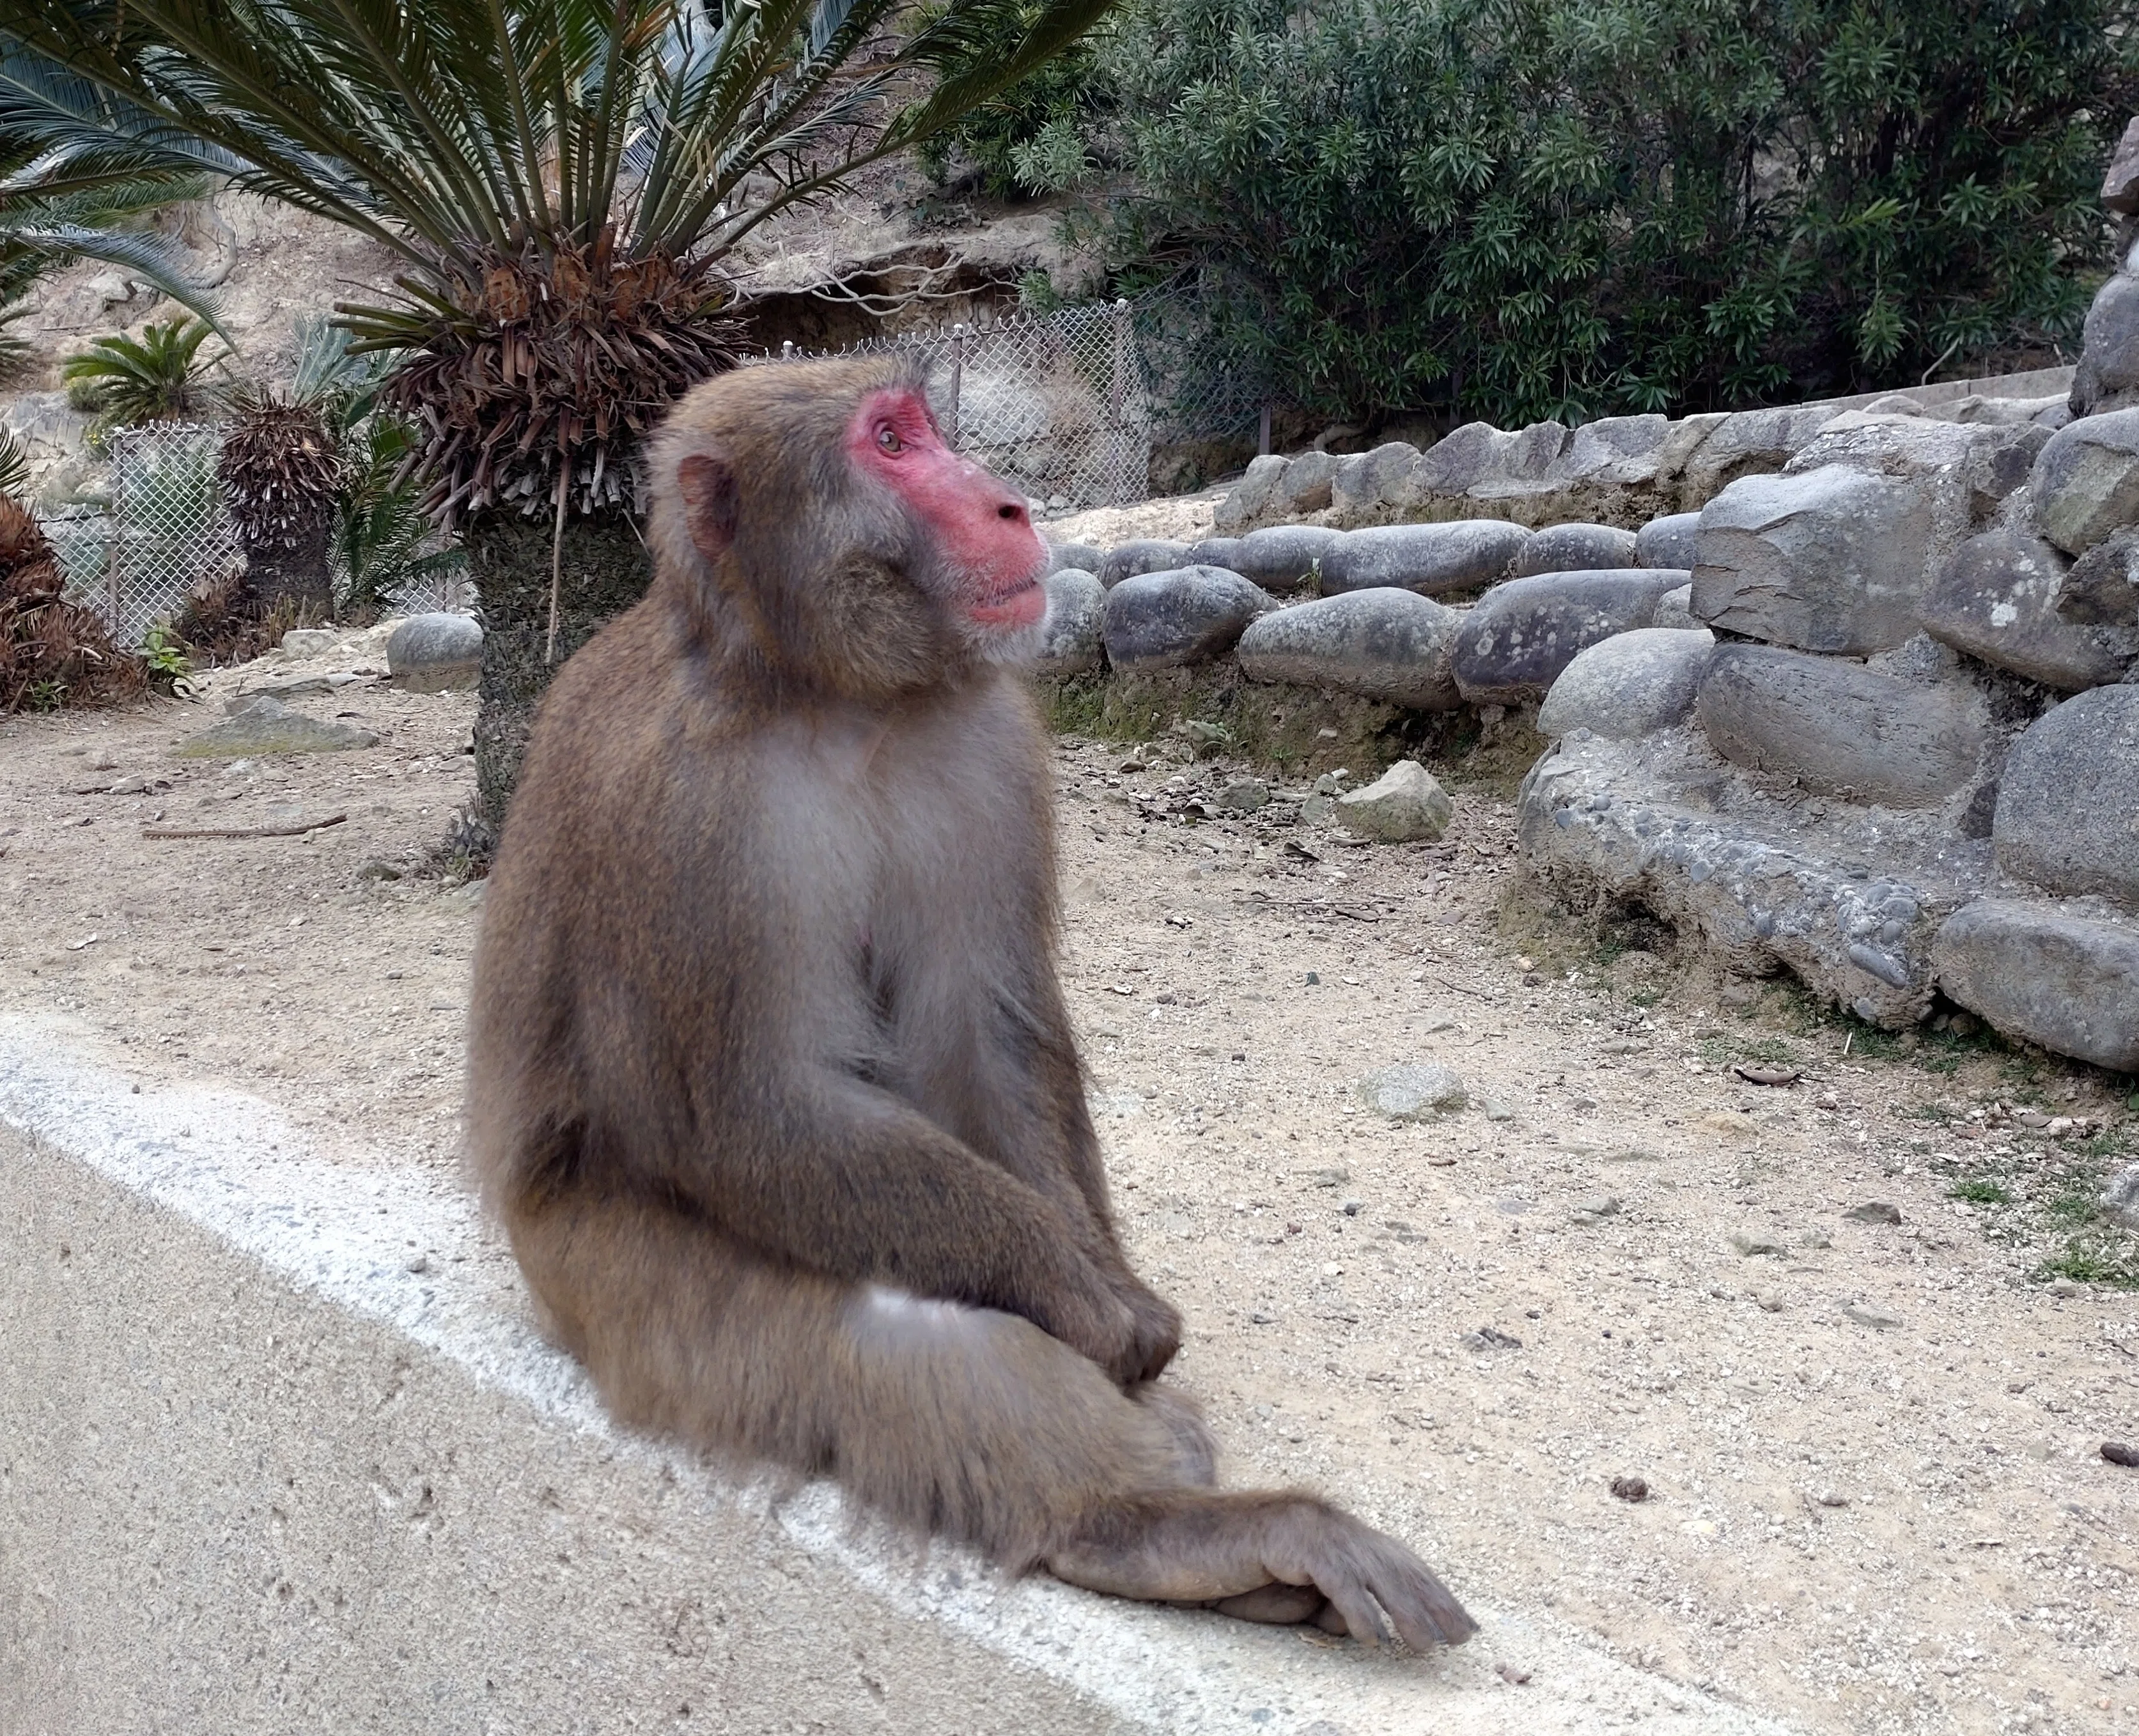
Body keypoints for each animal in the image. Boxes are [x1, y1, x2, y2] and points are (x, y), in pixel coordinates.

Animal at [464, 352, 1476, 1651]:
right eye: (891, 443)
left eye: (921, 426)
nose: (1007, 502)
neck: (824, 693)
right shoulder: (685, 815)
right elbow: (752, 1113)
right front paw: (1089, 1309)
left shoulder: (984, 743)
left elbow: (983, 1046)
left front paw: (1119, 1299)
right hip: (602, 1279)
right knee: (897, 1334)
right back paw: (1151, 1530)